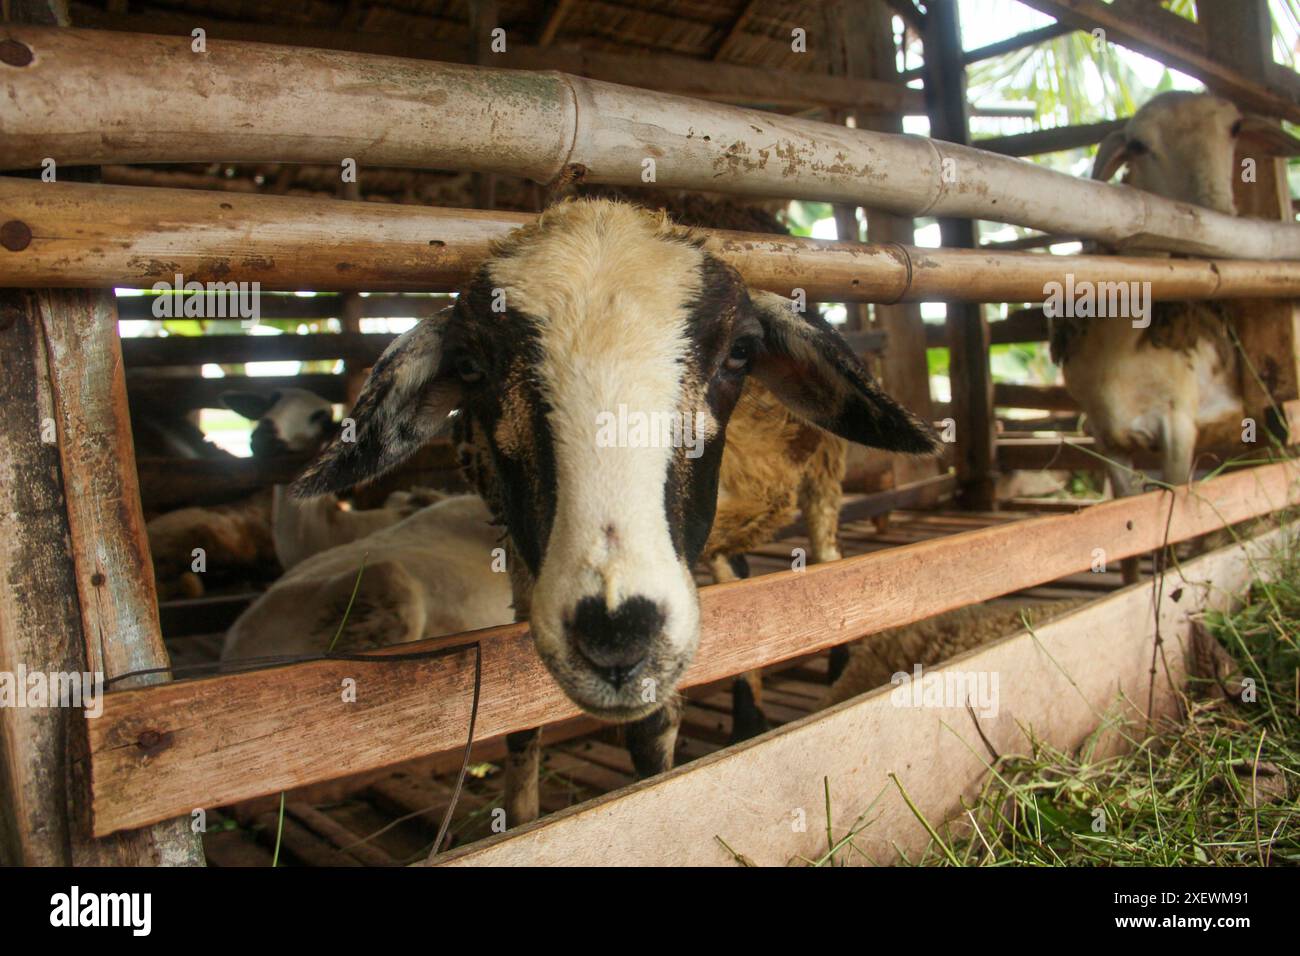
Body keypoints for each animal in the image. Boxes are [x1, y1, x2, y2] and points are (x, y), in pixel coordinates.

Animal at [296, 198, 939, 825]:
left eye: (740, 353)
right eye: (472, 367)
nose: (616, 637)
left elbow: (651, 728)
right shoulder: (523, 556)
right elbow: (516, 721)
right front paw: (521, 815)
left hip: (824, 472)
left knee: (830, 561)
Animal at [1052, 92, 1300, 577]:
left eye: (1235, 128)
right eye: (1139, 144)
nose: (1218, 213)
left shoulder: (1179, 424)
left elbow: (1170, 524)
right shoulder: (1107, 437)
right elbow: (1127, 528)